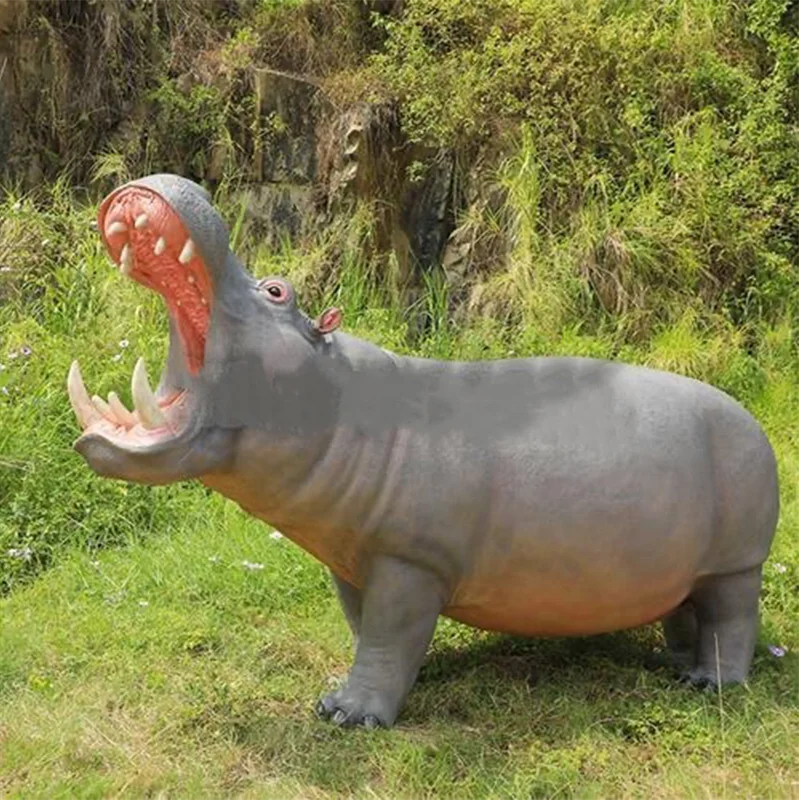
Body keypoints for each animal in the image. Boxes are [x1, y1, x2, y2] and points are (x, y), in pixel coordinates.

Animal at [67, 174, 779, 729]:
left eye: (277, 290)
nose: (177, 180)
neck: (342, 396)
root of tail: (752, 418)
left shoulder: (410, 561)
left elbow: (389, 635)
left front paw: (349, 715)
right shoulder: (352, 555)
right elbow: (374, 632)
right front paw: (377, 689)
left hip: (739, 562)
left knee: (733, 621)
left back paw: (711, 685)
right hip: (688, 564)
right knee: (688, 612)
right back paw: (674, 666)